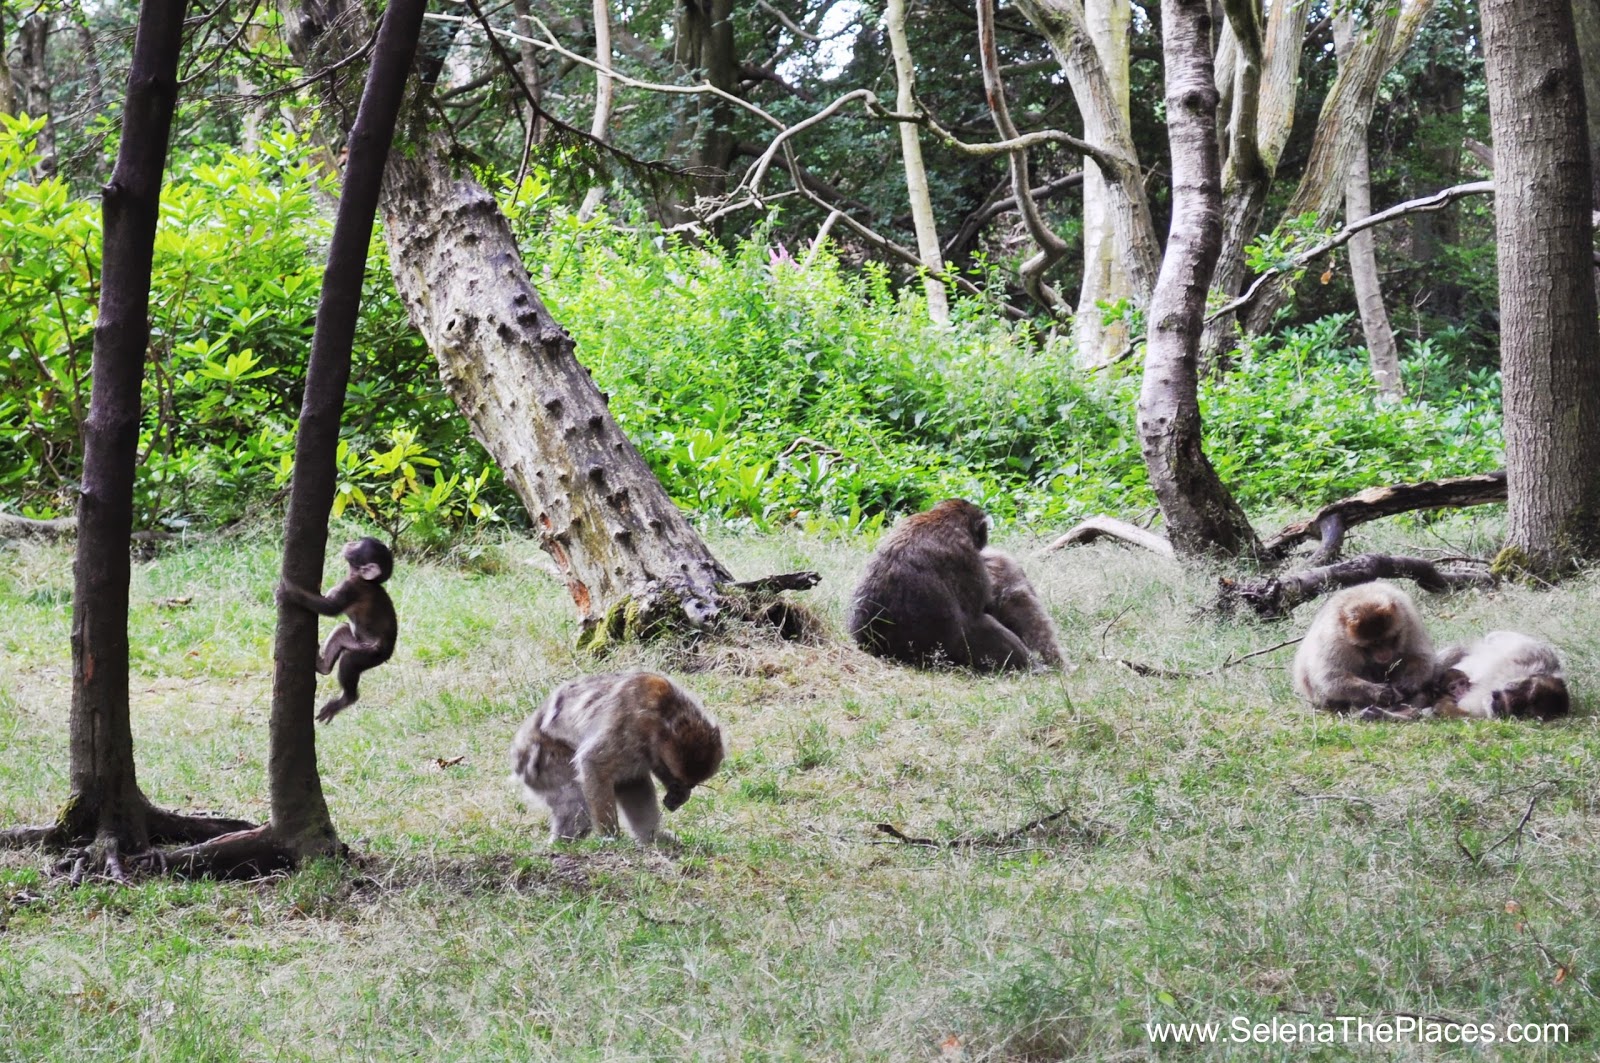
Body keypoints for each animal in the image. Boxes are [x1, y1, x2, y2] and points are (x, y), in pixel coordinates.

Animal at [276, 536, 397, 723]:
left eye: (359, 545)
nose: (351, 542)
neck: (366, 580)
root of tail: (388, 653)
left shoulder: (351, 587)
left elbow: (330, 608)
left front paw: (290, 593)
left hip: (372, 653)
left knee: (349, 661)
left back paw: (347, 698)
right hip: (357, 642)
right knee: (341, 632)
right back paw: (324, 667)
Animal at [508, 672, 725, 845]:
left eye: (689, 784)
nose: (681, 788)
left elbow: (638, 778)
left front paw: (677, 795)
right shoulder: (627, 729)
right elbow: (592, 764)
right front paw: (610, 835)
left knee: (634, 782)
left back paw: (652, 838)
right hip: (543, 761)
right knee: (577, 799)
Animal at [1290, 581, 1435, 712]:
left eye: (1388, 639)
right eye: (1372, 644)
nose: (1384, 654)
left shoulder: (1408, 619)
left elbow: (1422, 658)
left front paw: (1405, 684)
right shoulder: (1333, 639)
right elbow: (1329, 677)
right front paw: (1377, 692)